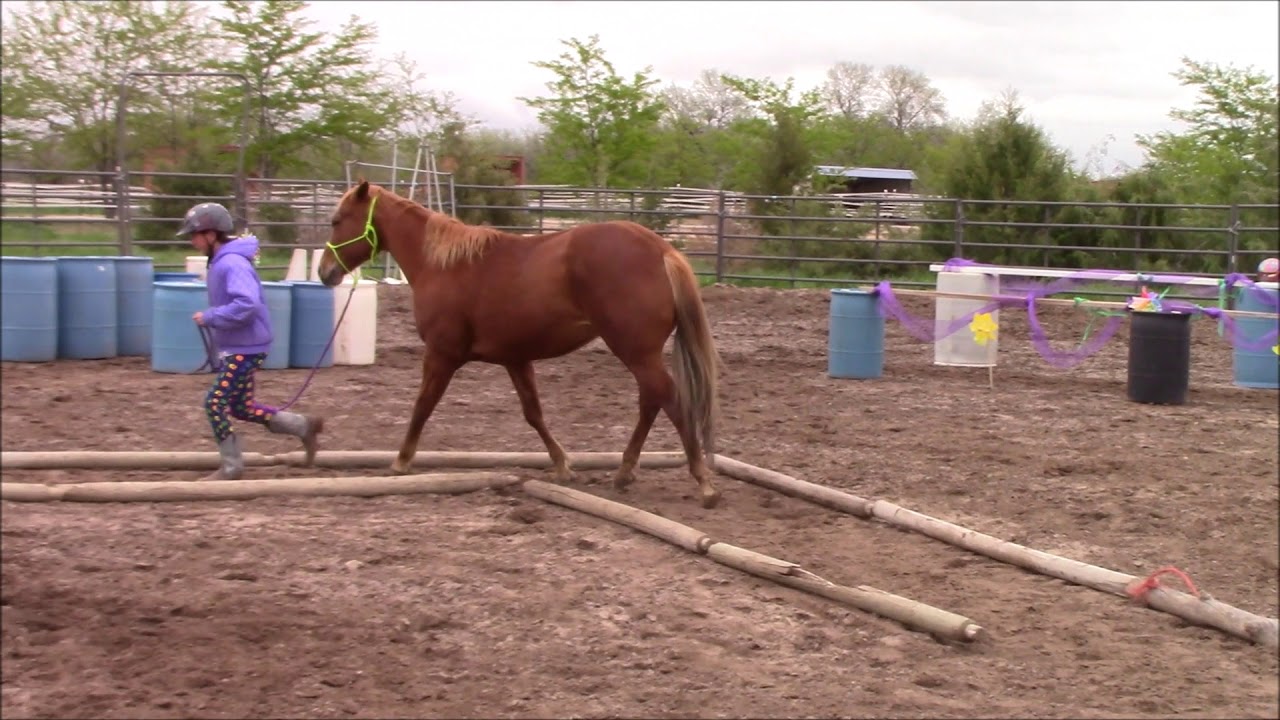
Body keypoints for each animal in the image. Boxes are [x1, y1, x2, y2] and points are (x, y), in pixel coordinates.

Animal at [316, 180, 724, 508]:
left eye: (337, 220)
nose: (324, 273)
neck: (442, 266)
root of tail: (662, 250)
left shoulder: (441, 355)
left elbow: (423, 405)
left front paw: (401, 460)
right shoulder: (515, 359)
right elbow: (533, 414)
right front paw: (562, 466)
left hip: (635, 351)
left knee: (668, 399)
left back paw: (702, 482)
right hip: (639, 353)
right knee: (652, 401)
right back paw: (625, 472)